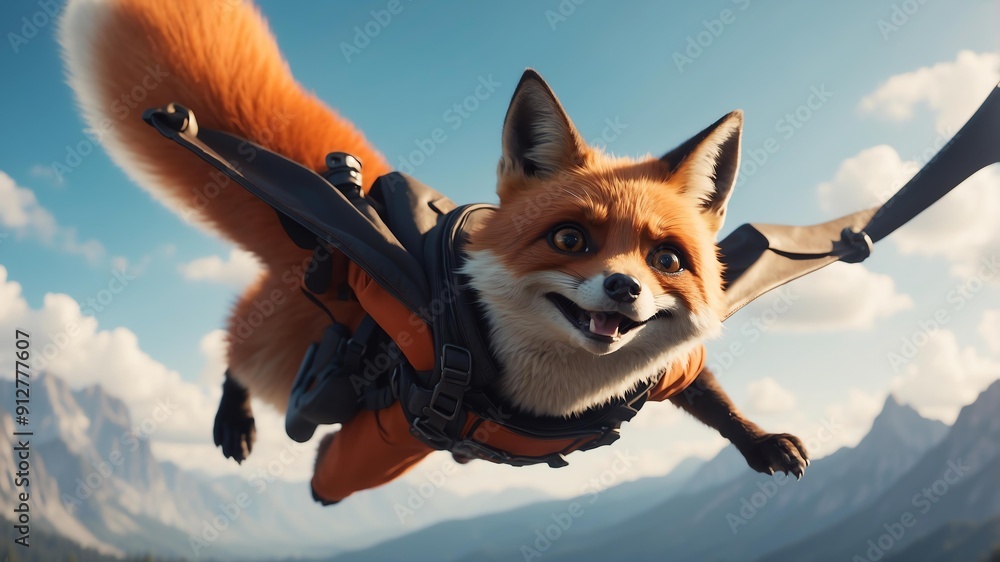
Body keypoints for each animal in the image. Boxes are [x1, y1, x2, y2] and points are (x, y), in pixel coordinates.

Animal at [59, 0, 809, 503]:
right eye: (570, 239)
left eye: (667, 260)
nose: (624, 289)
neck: (555, 397)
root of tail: (354, 188)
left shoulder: (673, 369)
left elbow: (711, 394)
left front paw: (760, 440)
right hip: (308, 358)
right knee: (244, 353)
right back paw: (233, 417)